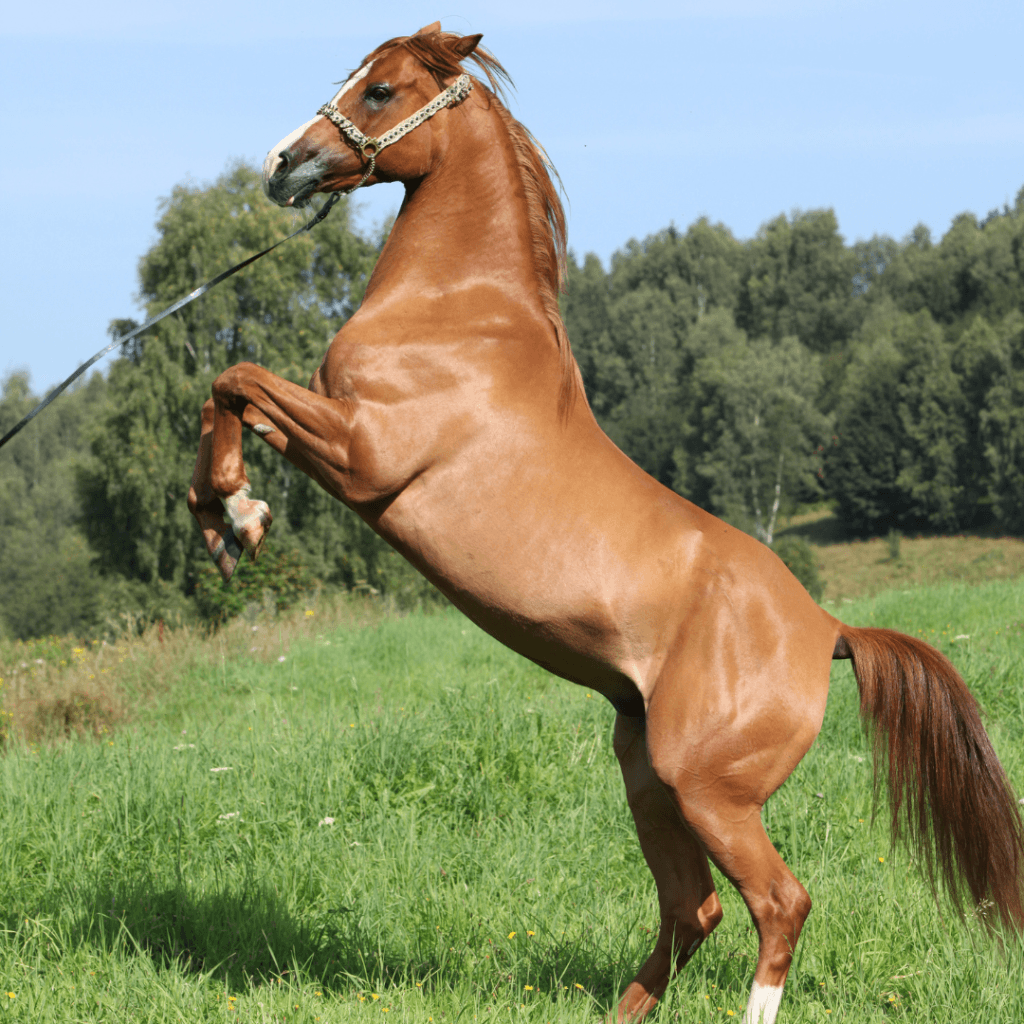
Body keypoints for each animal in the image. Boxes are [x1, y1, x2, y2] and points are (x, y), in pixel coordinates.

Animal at [187, 23, 1024, 1024]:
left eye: (381, 89)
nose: (283, 164)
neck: (460, 317)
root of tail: (827, 630)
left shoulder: (364, 454)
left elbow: (236, 376)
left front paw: (238, 513)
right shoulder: (333, 435)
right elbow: (228, 394)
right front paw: (223, 519)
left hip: (707, 790)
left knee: (777, 904)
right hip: (647, 777)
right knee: (695, 908)